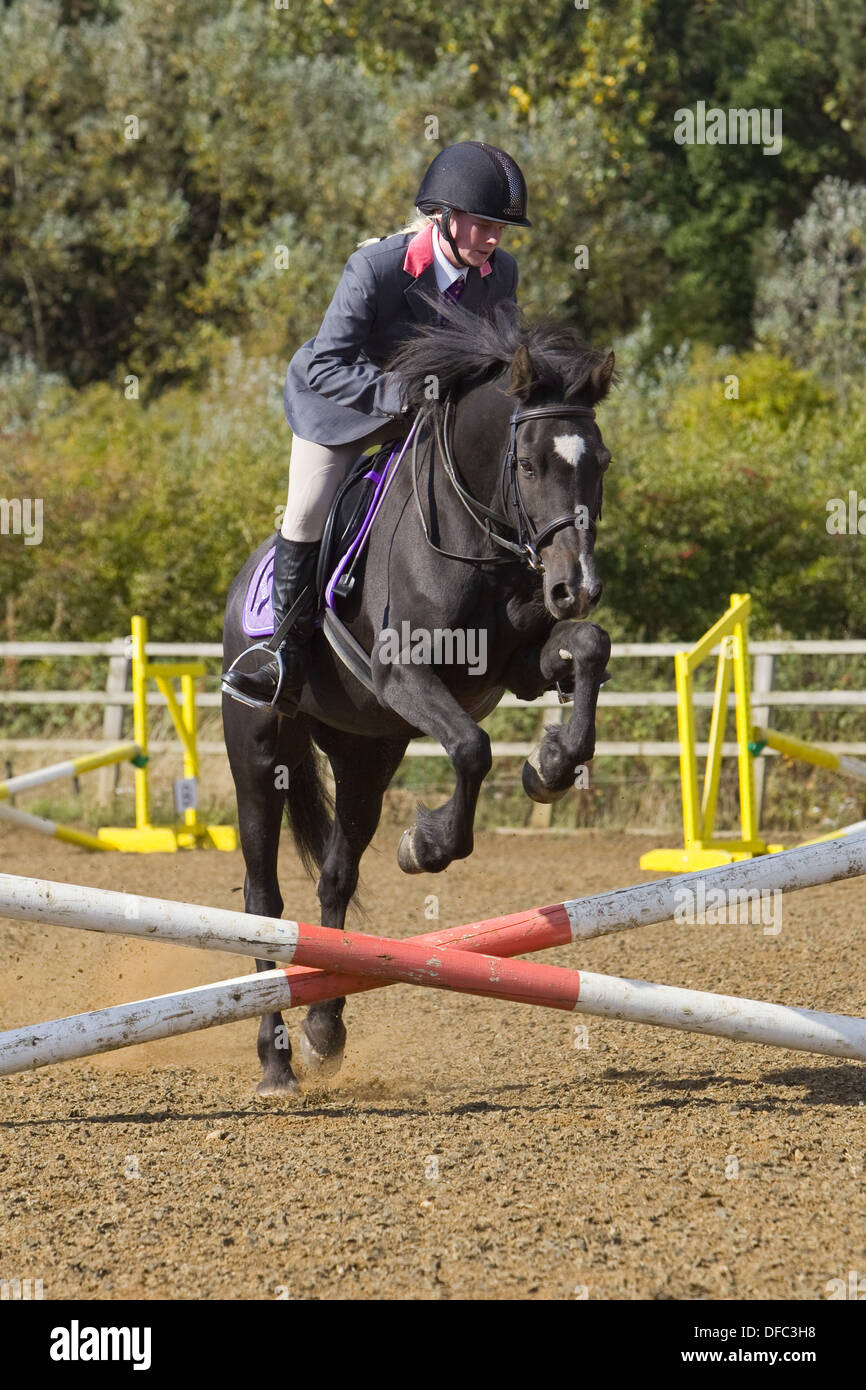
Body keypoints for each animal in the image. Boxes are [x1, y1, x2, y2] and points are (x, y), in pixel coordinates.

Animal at [222, 297, 615, 1094]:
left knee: (336, 877)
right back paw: (276, 1060)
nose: (578, 586)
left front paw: (551, 767)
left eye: (601, 464)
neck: (480, 538)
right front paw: (427, 845)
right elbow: (470, 748)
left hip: (365, 752)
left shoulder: (520, 665)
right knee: (262, 897)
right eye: (529, 464)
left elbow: (588, 650)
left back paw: (325, 1029)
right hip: (258, 753)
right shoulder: (406, 676)